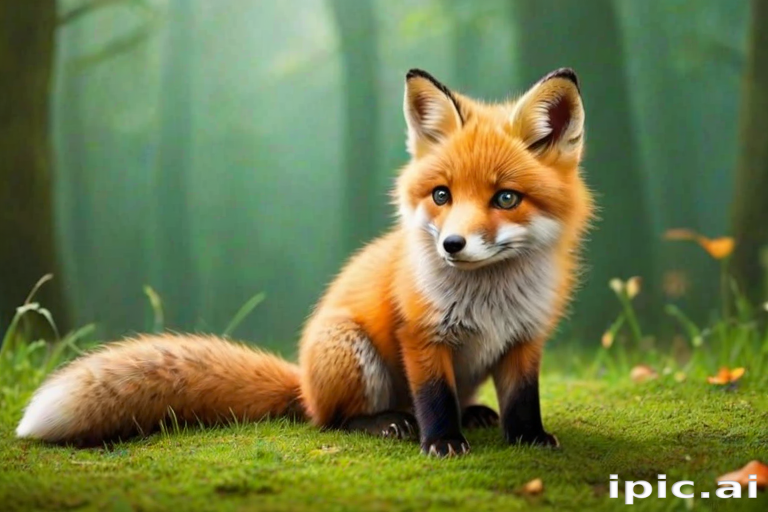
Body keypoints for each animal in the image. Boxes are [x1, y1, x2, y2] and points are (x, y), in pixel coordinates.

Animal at [16, 67, 593, 457]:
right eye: (441, 195)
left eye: (506, 199)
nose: (452, 245)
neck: (489, 299)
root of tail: (304, 385)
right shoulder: (422, 336)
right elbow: (432, 400)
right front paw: (442, 443)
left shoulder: (524, 339)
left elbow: (523, 401)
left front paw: (529, 439)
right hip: (352, 352)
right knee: (334, 421)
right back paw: (388, 423)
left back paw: (471, 413)